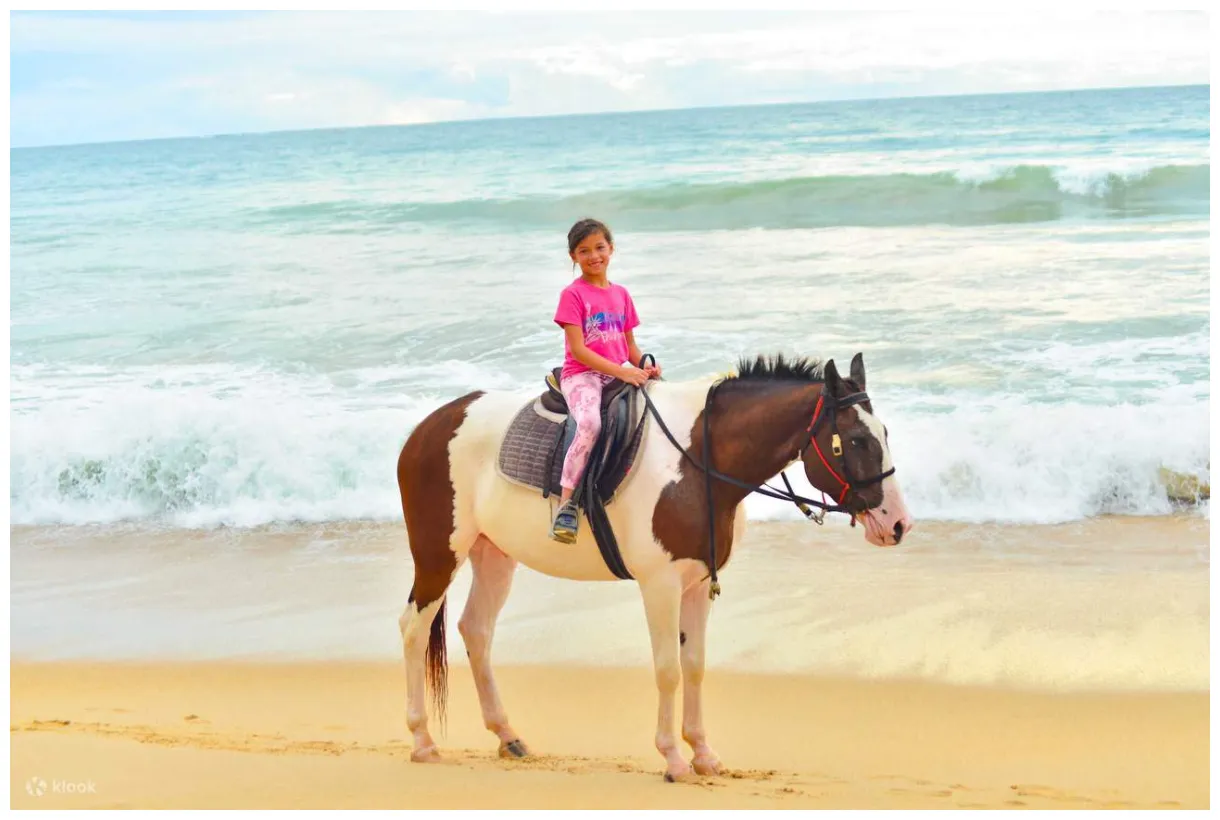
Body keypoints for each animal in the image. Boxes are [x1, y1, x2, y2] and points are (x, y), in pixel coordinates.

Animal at [395, 352, 913, 781]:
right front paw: (673, 758)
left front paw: (703, 753)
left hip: (494, 555)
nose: (898, 524)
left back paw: (508, 736)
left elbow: (695, 666)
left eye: (886, 435)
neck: (699, 460)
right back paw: (421, 740)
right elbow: (668, 669)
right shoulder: (660, 584)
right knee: (414, 628)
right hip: (439, 553)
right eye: (857, 440)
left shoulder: (697, 583)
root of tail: (427, 428)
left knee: (476, 630)